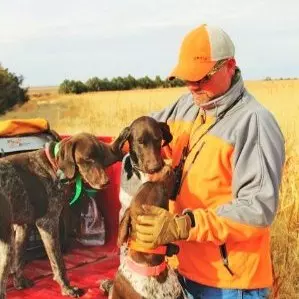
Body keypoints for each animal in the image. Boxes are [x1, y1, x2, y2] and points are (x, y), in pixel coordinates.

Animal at [0, 132, 126, 298]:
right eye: (88, 159)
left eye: (101, 158)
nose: (106, 182)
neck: (54, 167)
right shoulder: (48, 223)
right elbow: (58, 263)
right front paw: (67, 288)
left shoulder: (23, 226)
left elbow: (19, 258)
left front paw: (20, 283)